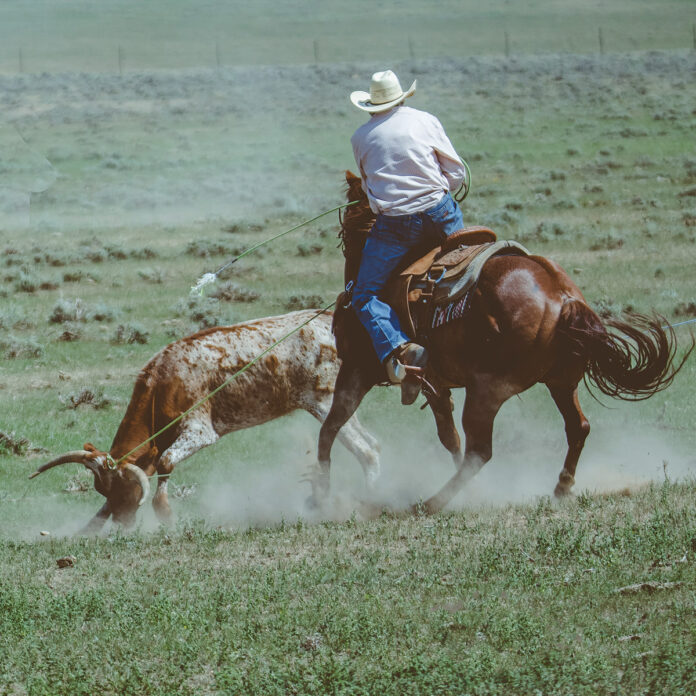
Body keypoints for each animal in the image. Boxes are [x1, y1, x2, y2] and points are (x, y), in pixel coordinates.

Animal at [311, 171, 690, 513]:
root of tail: (561, 296)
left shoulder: (357, 371)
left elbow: (330, 429)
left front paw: (320, 495)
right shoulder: (435, 384)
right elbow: (448, 437)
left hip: (486, 391)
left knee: (481, 451)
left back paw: (431, 503)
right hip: (561, 381)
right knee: (577, 427)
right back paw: (561, 487)